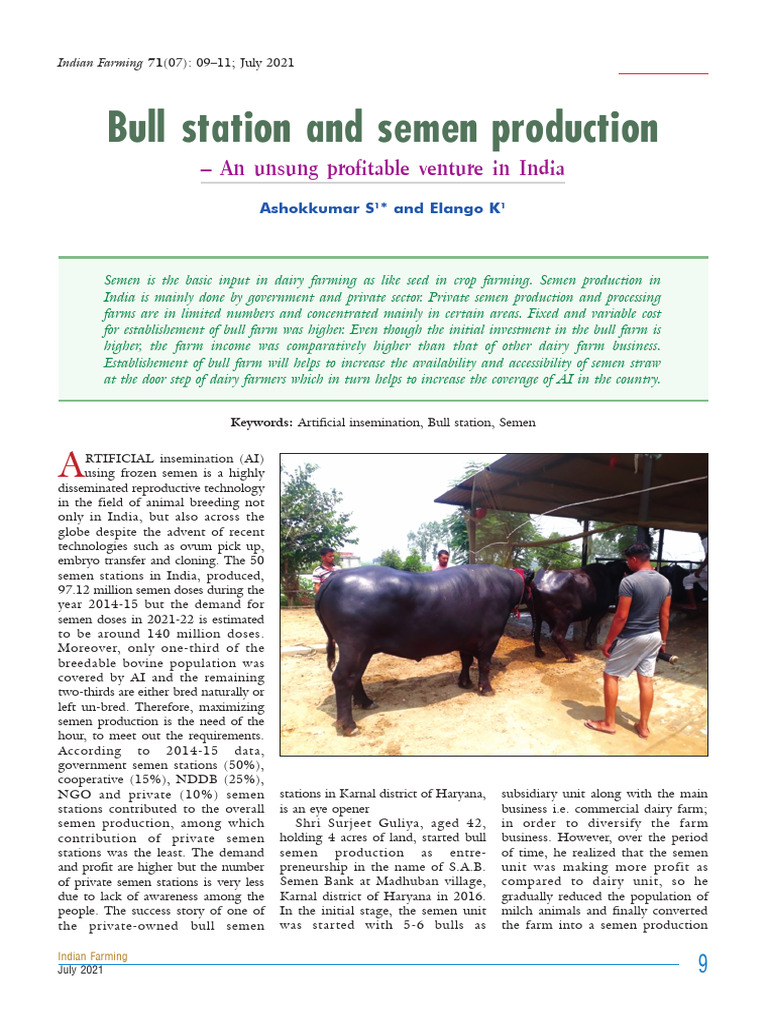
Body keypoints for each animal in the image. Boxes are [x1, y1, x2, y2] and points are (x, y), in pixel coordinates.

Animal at [314, 564, 526, 735]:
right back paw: (350, 725)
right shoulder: (491, 638)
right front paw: (487, 689)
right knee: (343, 678)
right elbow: (485, 665)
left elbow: (466, 660)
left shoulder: (466, 640)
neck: (505, 585)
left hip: (361, 651)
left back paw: (366, 702)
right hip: (354, 646)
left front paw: (465, 682)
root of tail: (335, 576)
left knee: (355, 676)